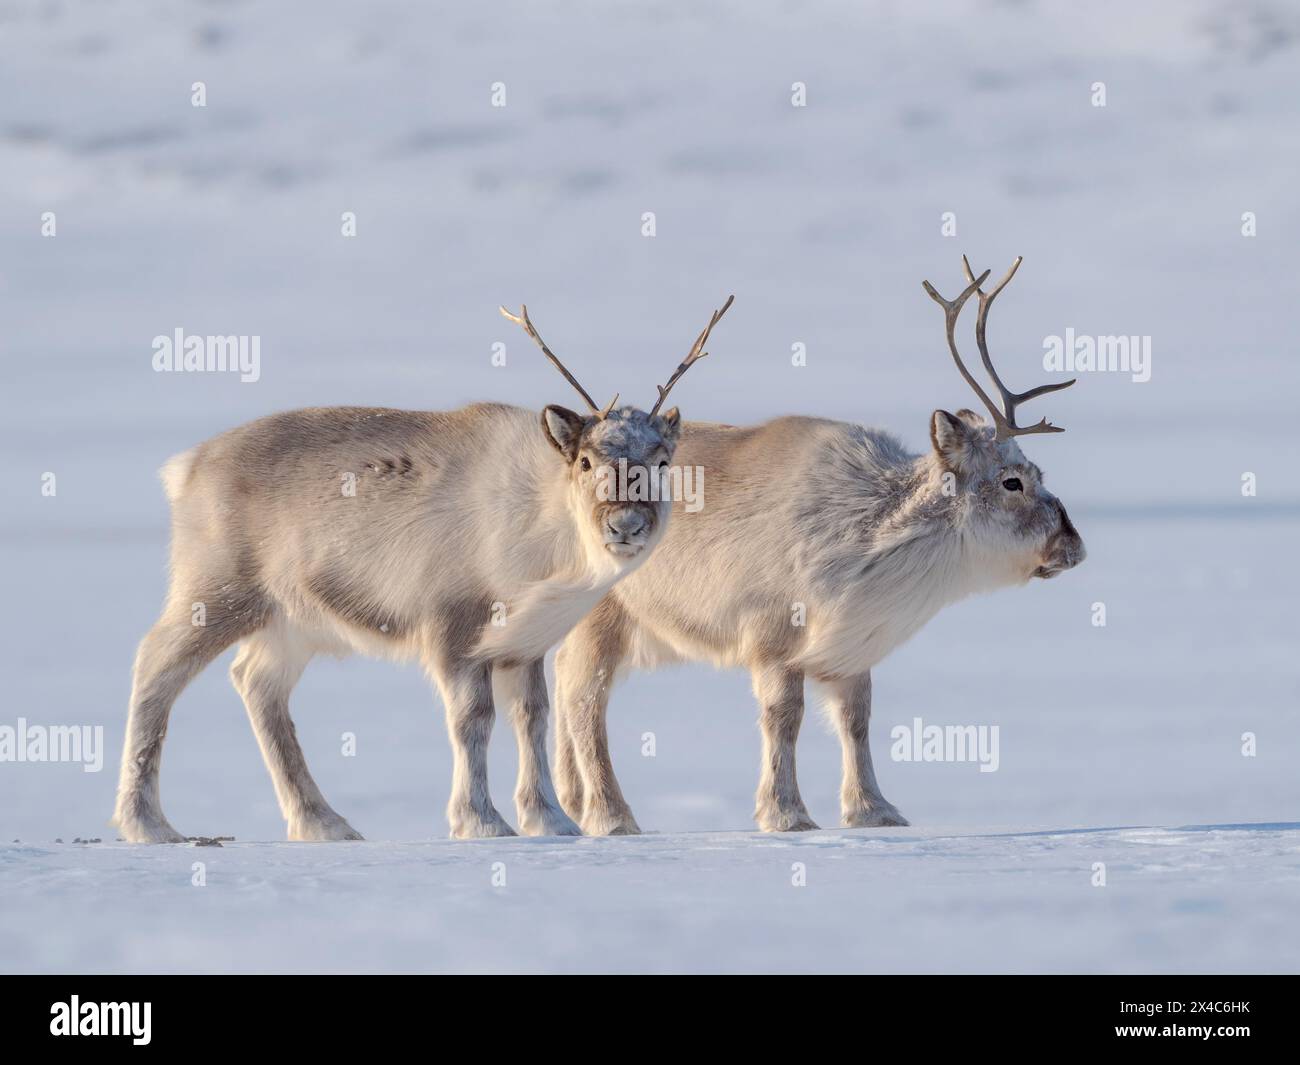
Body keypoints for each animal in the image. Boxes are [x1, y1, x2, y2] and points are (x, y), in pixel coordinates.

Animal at [111, 296, 733, 843]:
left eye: (661, 460)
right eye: (585, 460)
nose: (625, 524)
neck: (551, 543)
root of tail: (185, 467)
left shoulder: (523, 644)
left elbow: (532, 718)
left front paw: (551, 820)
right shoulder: (453, 628)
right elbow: (472, 720)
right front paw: (481, 821)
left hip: (291, 622)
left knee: (257, 685)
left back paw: (323, 822)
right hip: (216, 591)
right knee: (154, 667)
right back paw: (148, 824)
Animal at [552, 258, 1085, 835]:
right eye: (1012, 482)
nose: (1074, 545)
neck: (873, 544)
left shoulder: (849, 652)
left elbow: (856, 722)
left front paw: (875, 811)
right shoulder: (773, 640)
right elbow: (784, 720)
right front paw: (787, 814)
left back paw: (568, 806)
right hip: (601, 618)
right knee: (583, 699)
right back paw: (610, 816)